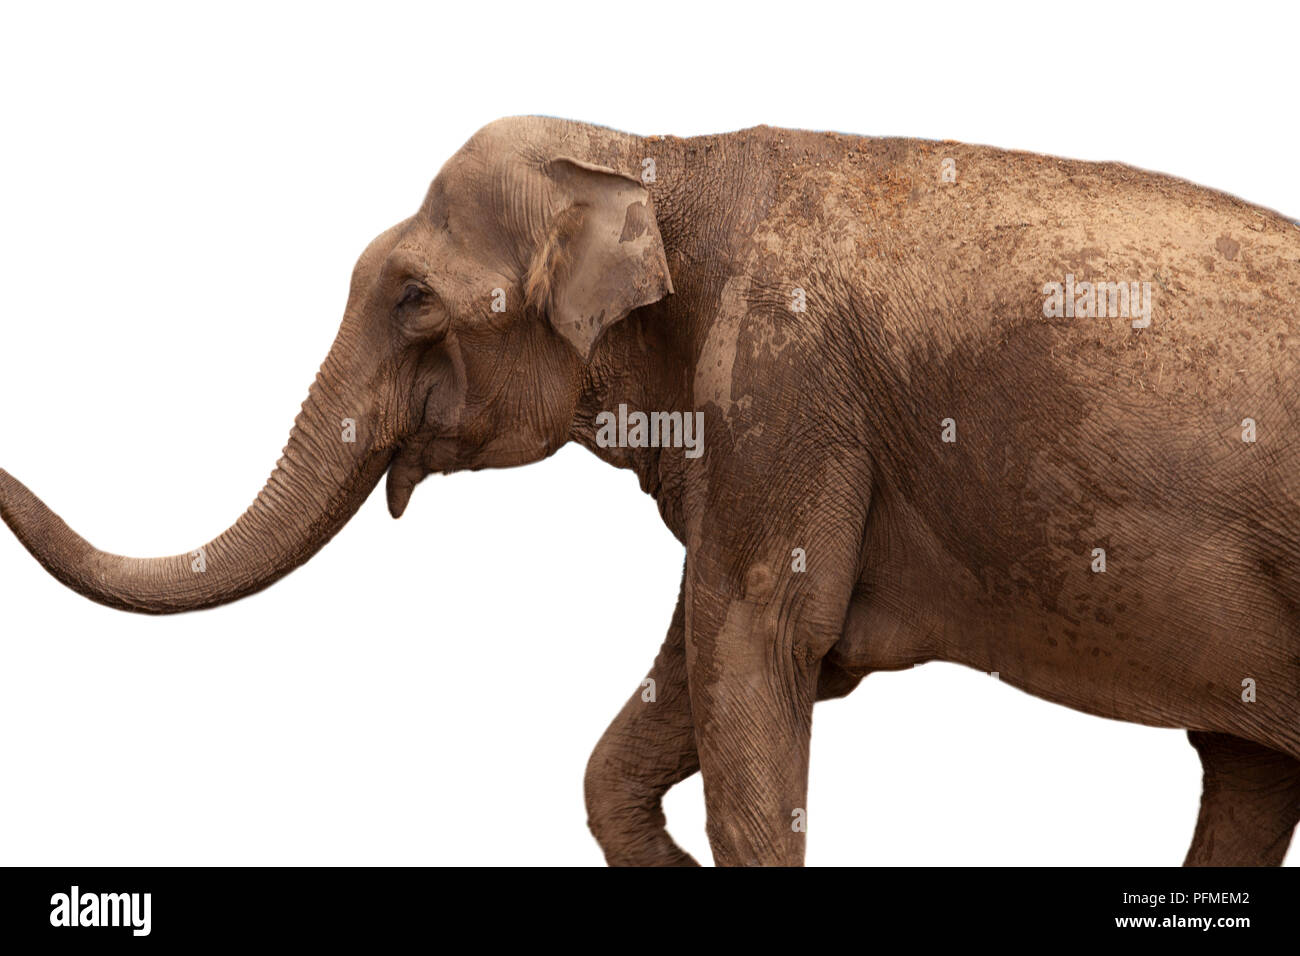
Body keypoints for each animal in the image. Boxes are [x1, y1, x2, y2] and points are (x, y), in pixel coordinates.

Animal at [3, 116, 1300, 867]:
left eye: (414, 298)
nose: (10, 454)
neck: (655, 150)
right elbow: (692, 672)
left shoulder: (782, 384)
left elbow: (759, 643)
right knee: (1242, 771)